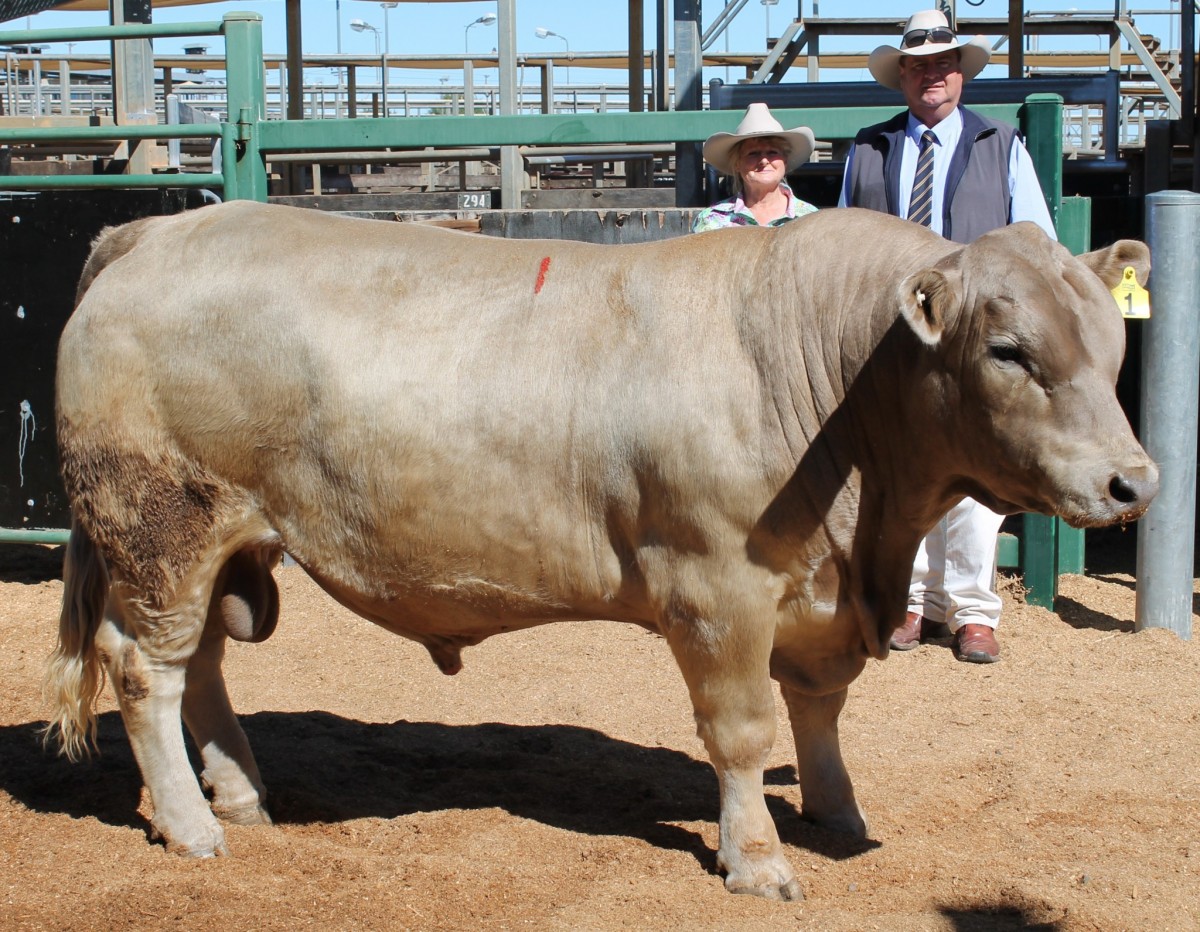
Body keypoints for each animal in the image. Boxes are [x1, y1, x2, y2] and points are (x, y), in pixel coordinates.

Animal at [45, 201, 1156, 900]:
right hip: (159, 530)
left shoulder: (816, 596)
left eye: (1112, 344)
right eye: (1008, 350)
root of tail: (155, 229)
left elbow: (818, 711)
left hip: (217, 544)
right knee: (145, 669)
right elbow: (743, 730)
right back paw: (191, 826)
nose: (1132, 483)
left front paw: (837, 810)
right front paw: (757, 859)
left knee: (202, 667)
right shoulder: (718, 588)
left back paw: (240, 793)